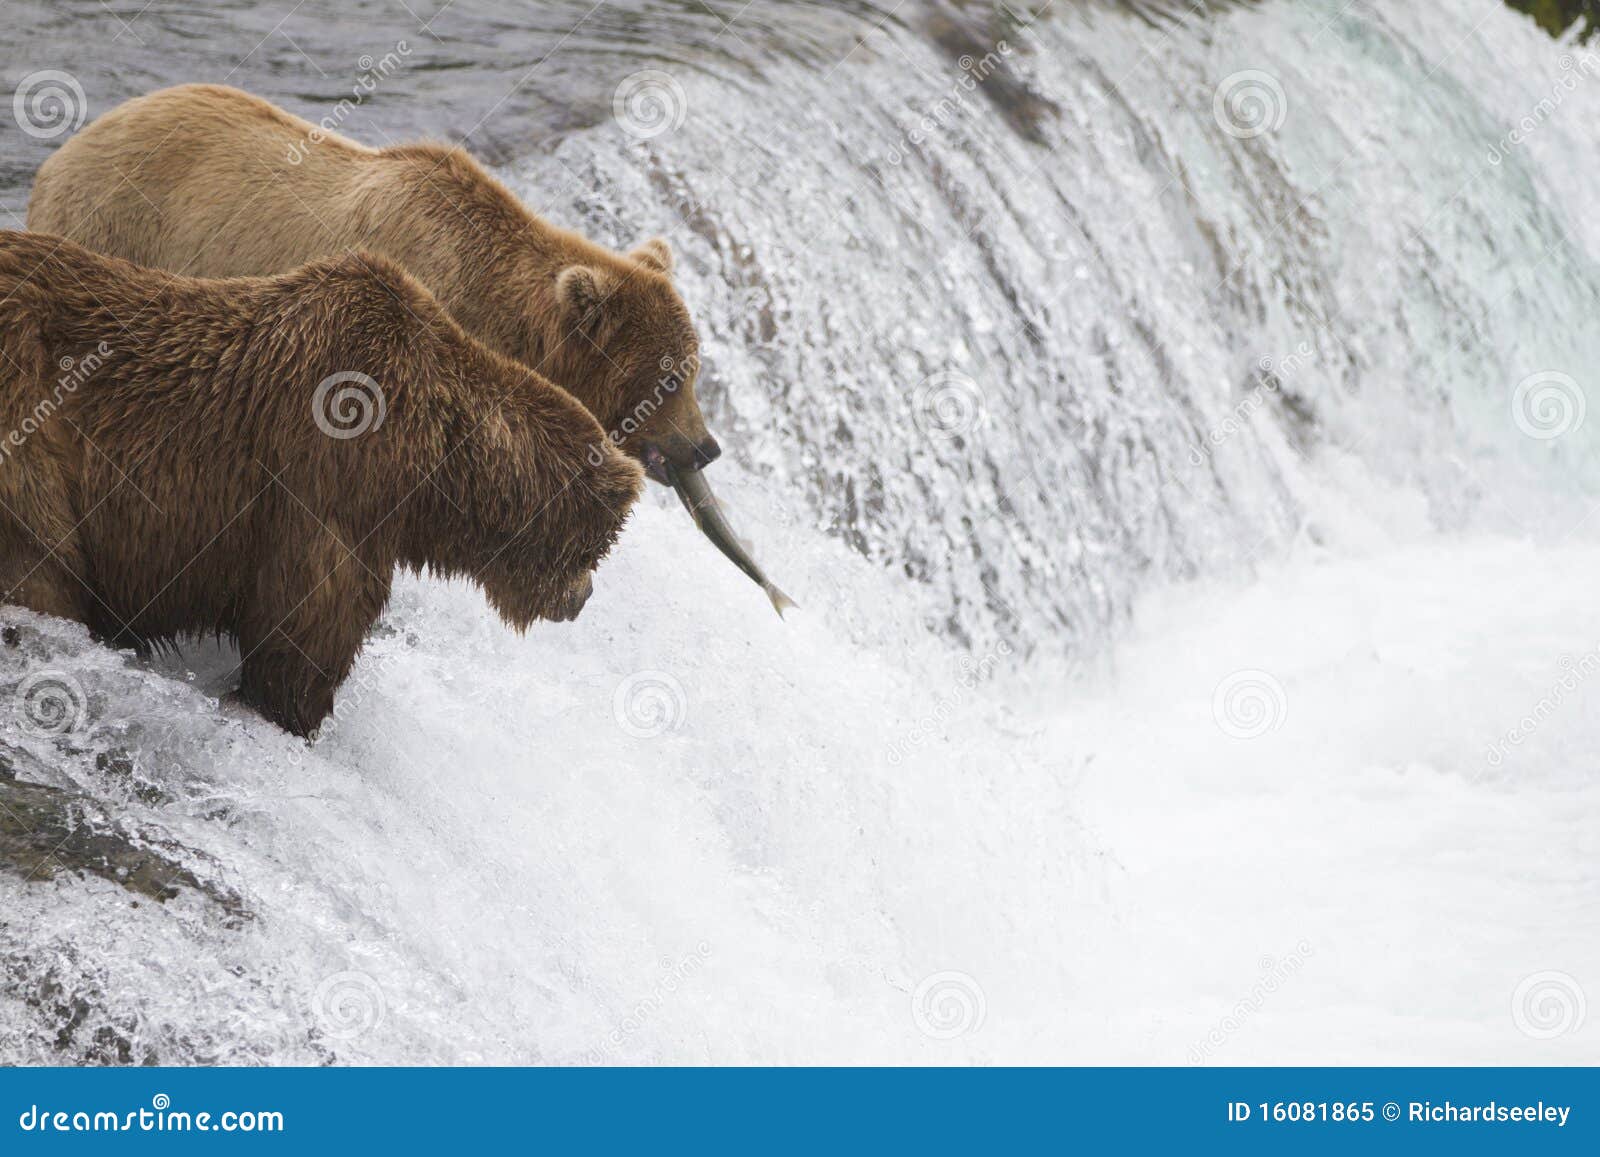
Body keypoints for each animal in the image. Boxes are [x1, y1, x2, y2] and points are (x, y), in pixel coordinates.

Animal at [0, 230, 642, 736]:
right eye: (598, 546)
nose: (583, 598)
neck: (430, 468)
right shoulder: (330, 482)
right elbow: (304, 630)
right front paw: (290, 711)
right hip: (30, 454)